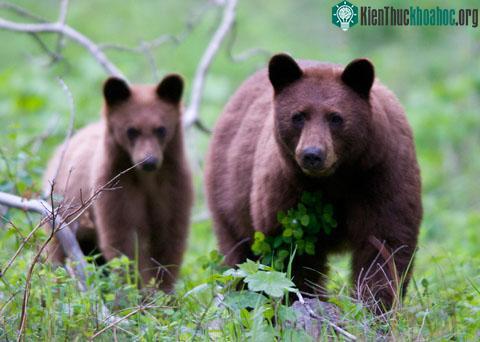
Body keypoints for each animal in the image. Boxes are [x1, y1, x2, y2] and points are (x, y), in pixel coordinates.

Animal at [42, 74, 193, 292]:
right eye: (131, 130)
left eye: (161, 129)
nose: (149, 161)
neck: (146, 179)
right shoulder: (115, 186)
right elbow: (123, 240)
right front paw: (137, 291)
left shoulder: (173, 186)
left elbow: (169, 239)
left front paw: (163, 292)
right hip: (63, 213)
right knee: (57, 255)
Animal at [204, 54, 422, 312]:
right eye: (298, 116)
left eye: (336, 117)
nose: (312, 154)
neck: (337, 178)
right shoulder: (286, 189)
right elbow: (293, 255)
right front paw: (306, 302)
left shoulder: (382, 174)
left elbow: (386, 243)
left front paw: (375, 308)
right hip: (228, 194)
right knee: (241, 258)